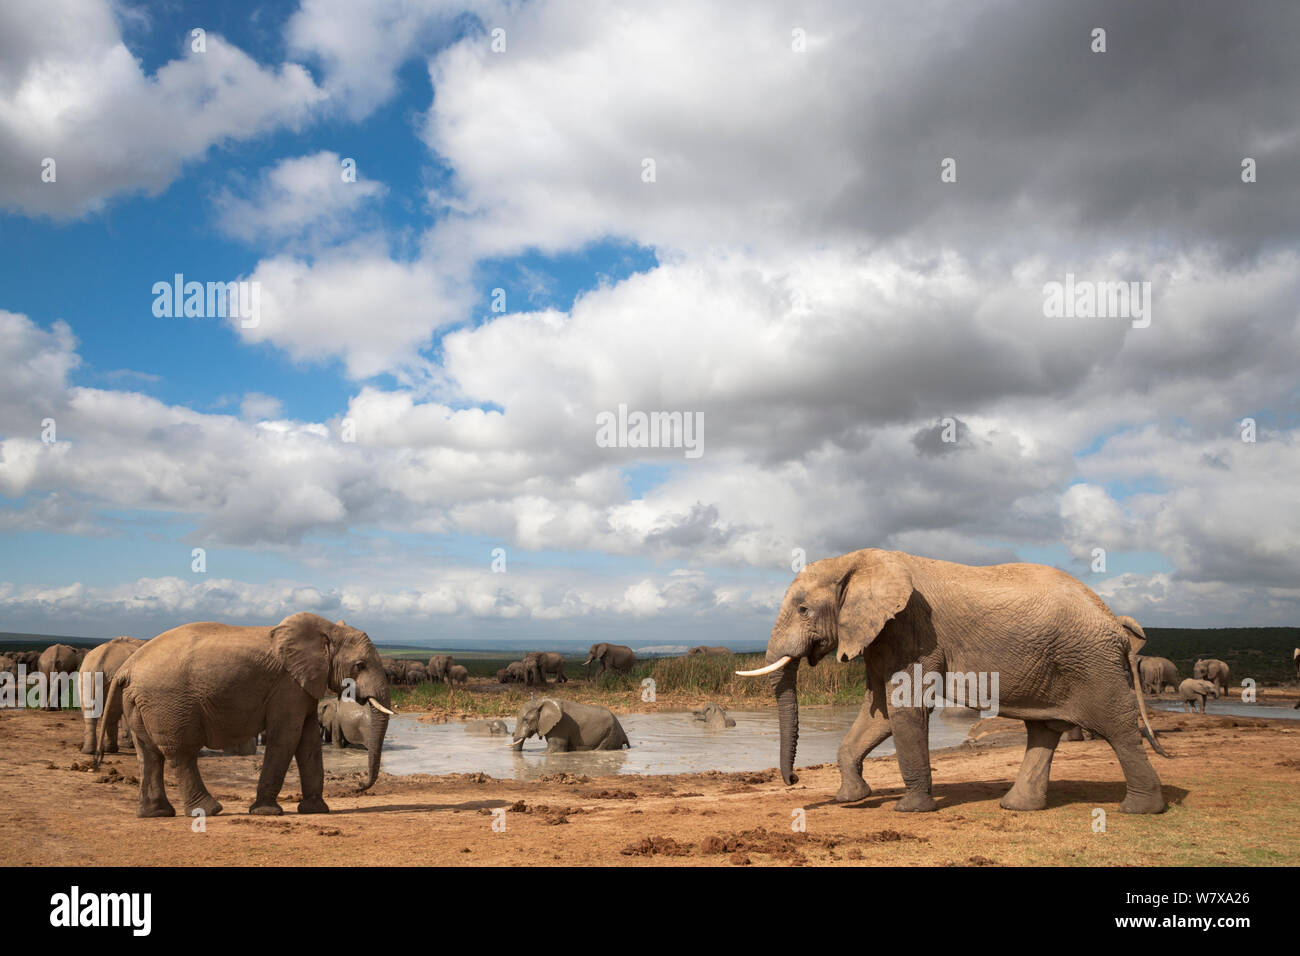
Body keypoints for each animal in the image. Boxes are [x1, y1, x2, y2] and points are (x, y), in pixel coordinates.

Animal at [95, 612, 393, 818]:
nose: (358, 786)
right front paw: (267, 813)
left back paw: (157, 814)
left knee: (148, 754)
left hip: (140, 702)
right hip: (166, 701)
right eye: (360, 665)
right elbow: (288, 737)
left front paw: (316, 810)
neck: (328, 629)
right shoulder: (287, 685)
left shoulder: (303, 687)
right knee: (179, 752)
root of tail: (127, 668)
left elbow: (306, 739)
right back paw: (210, 810)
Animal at [737, 549, 1167, 814]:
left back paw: (1139, 810)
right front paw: (850, 799)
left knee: (1117, 729)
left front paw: (909, 809)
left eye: (803, 609)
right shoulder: (883, 634)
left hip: (1093, 663)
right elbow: (878, 712)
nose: (793, 779)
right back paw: (1016, 807)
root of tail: (1115, 621)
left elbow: (904, 707)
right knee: (1043, 730)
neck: (853, 561)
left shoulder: (910, 626)